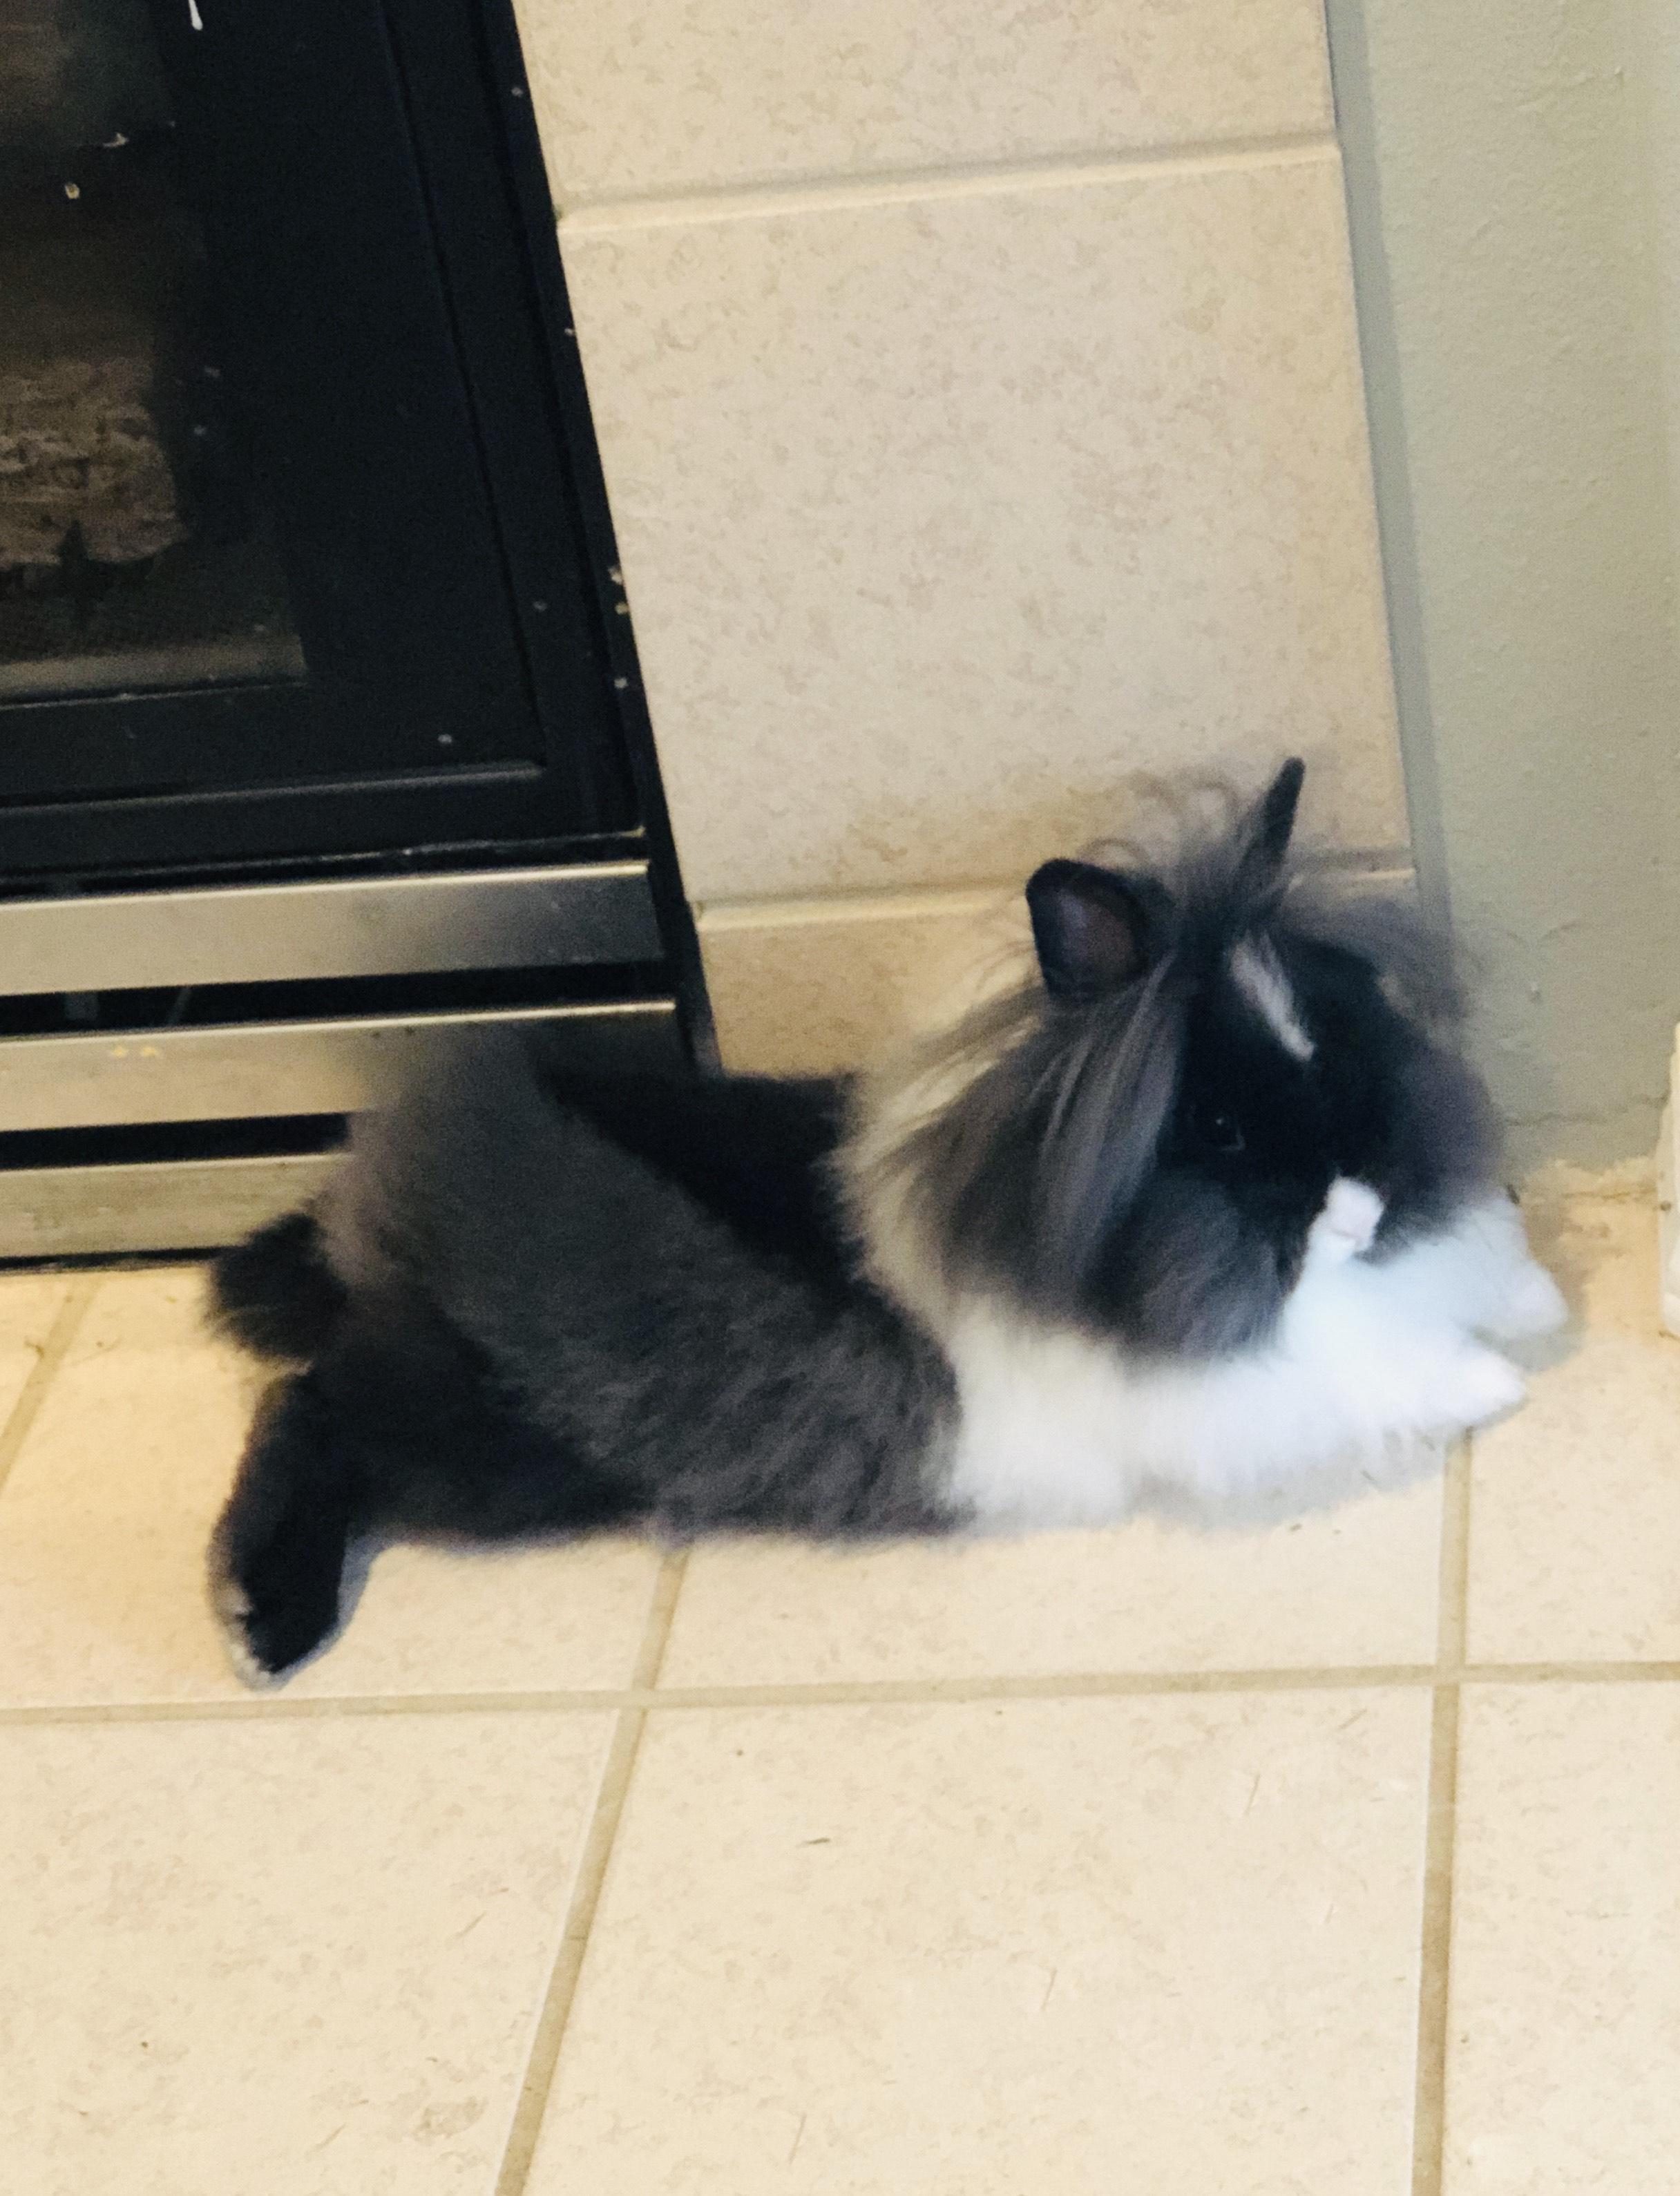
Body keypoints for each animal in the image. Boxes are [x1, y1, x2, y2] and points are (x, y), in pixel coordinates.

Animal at [205, 758, 1564, 1684]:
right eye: (1223, 1130)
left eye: (1346, 1047)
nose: (1367, 1201)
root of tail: (376, 1210)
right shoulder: (1241, 1389)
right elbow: (1380, 1373)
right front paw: (1489, 1381)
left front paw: (1535, 1302)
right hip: (499, 1440)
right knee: (307, 1410)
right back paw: (266, 1621)